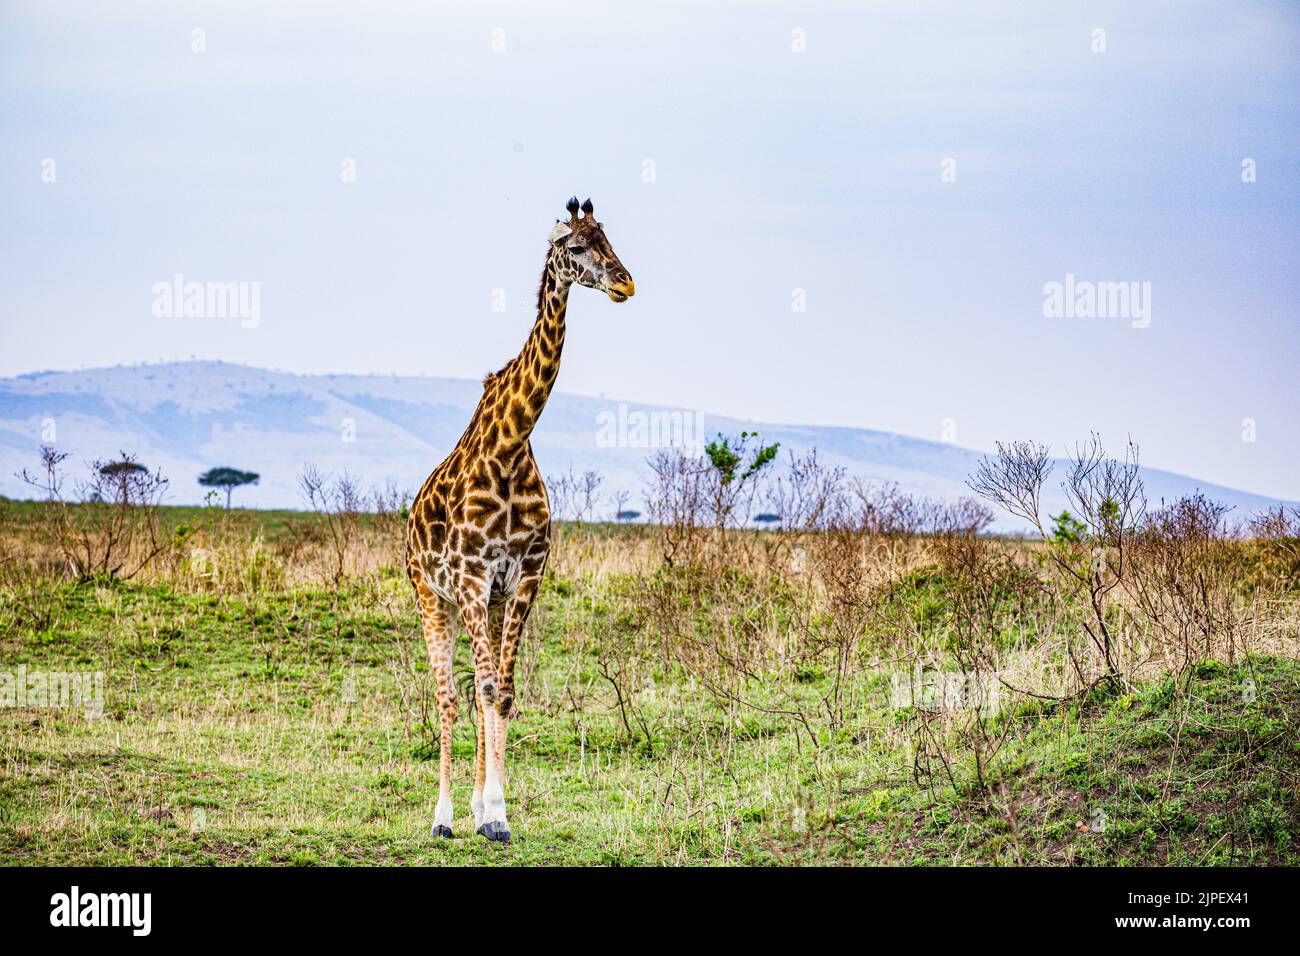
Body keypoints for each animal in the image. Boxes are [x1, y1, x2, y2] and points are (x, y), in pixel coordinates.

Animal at [405, 197, 635, 843]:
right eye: (576, 247)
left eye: (610, 238)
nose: (625, 283)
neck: (510, 445)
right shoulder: (471, 576)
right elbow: (481, 689)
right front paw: (484, 813)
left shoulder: (522, 577)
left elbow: (502, 693)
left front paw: (495, 814)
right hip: (433, 596)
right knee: (447, 696)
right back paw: (442, 817)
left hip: (486, 600)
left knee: (474, 691)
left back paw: (471, 808)